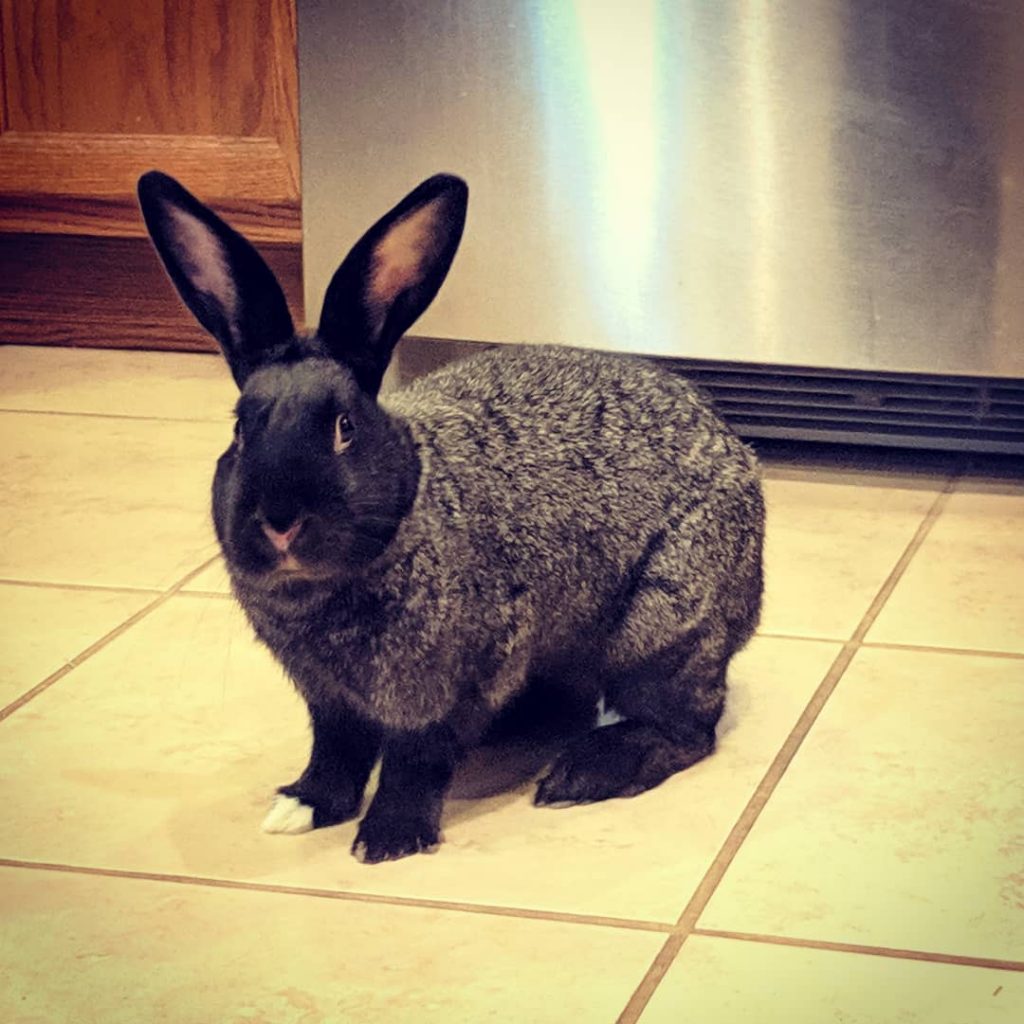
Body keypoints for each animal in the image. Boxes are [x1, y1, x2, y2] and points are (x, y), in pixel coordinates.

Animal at [137, 170, 765, 864]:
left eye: (344, 427)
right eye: (240, 430)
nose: (280, 521)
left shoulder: (455, 682)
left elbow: (416, 760)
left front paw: (387, 838)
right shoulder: (329, 700)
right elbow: (336, 752)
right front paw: (304, 807)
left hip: (660, 626)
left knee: (686, 727)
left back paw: (581, 774)